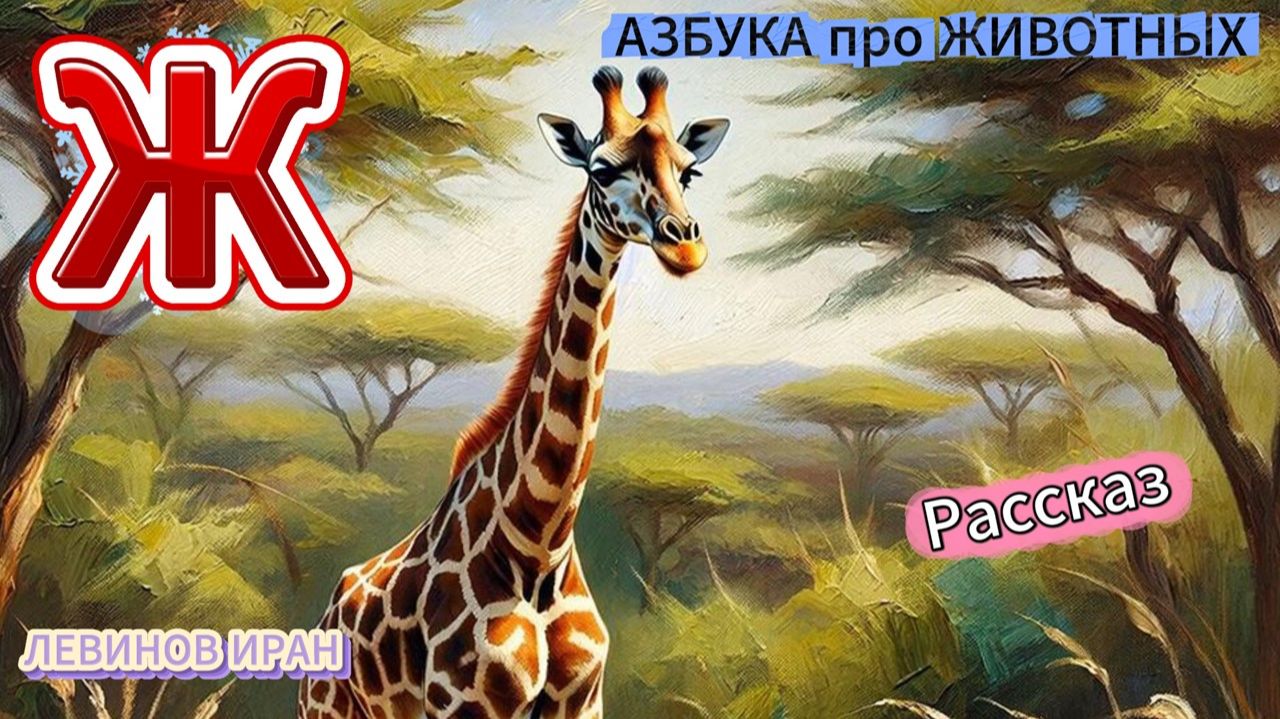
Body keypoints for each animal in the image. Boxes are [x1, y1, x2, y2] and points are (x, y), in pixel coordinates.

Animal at [298, 65, 729, 719]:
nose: (685, 244)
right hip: (325, 707)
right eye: (601, 168)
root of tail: (326, 612)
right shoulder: (464, 705)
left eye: (689, 171)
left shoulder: (584, 701)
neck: (540, 542)